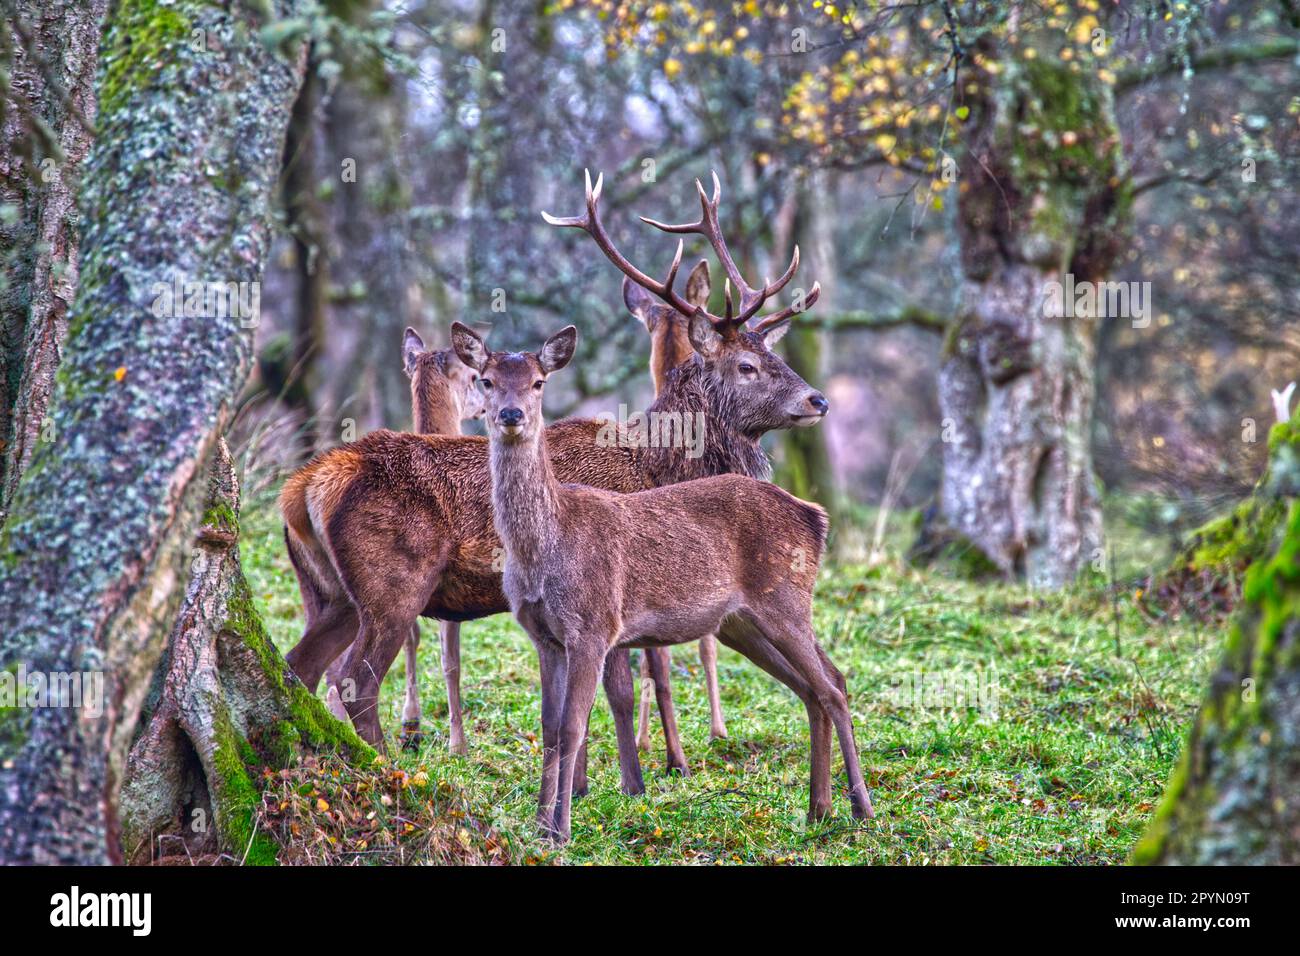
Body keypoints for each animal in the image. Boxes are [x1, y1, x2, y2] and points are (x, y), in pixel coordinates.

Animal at [279, 171, 828, 794]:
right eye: (746, 366)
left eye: (773, 354)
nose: (817, 400)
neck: (658, 465)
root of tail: (305, 486)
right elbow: (626, 684)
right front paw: (639, 778)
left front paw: (587, 783)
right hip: (391, 584)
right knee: (357, 682)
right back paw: (389, 771)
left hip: (327, 591)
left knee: (300, 667)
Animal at [453, 319, 873, 843]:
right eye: (486, 381)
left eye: (538, 383)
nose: (510, 415)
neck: (545, 545)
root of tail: (816, 518)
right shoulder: (543, 636)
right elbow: (549, 730)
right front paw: (540, 826)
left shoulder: (593, 627)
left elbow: (573, 727)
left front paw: (562, 830)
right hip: (743, 623)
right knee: (819, 685)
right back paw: (818, 810)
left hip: (786, 603)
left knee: (831, 687)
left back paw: (861, 809)